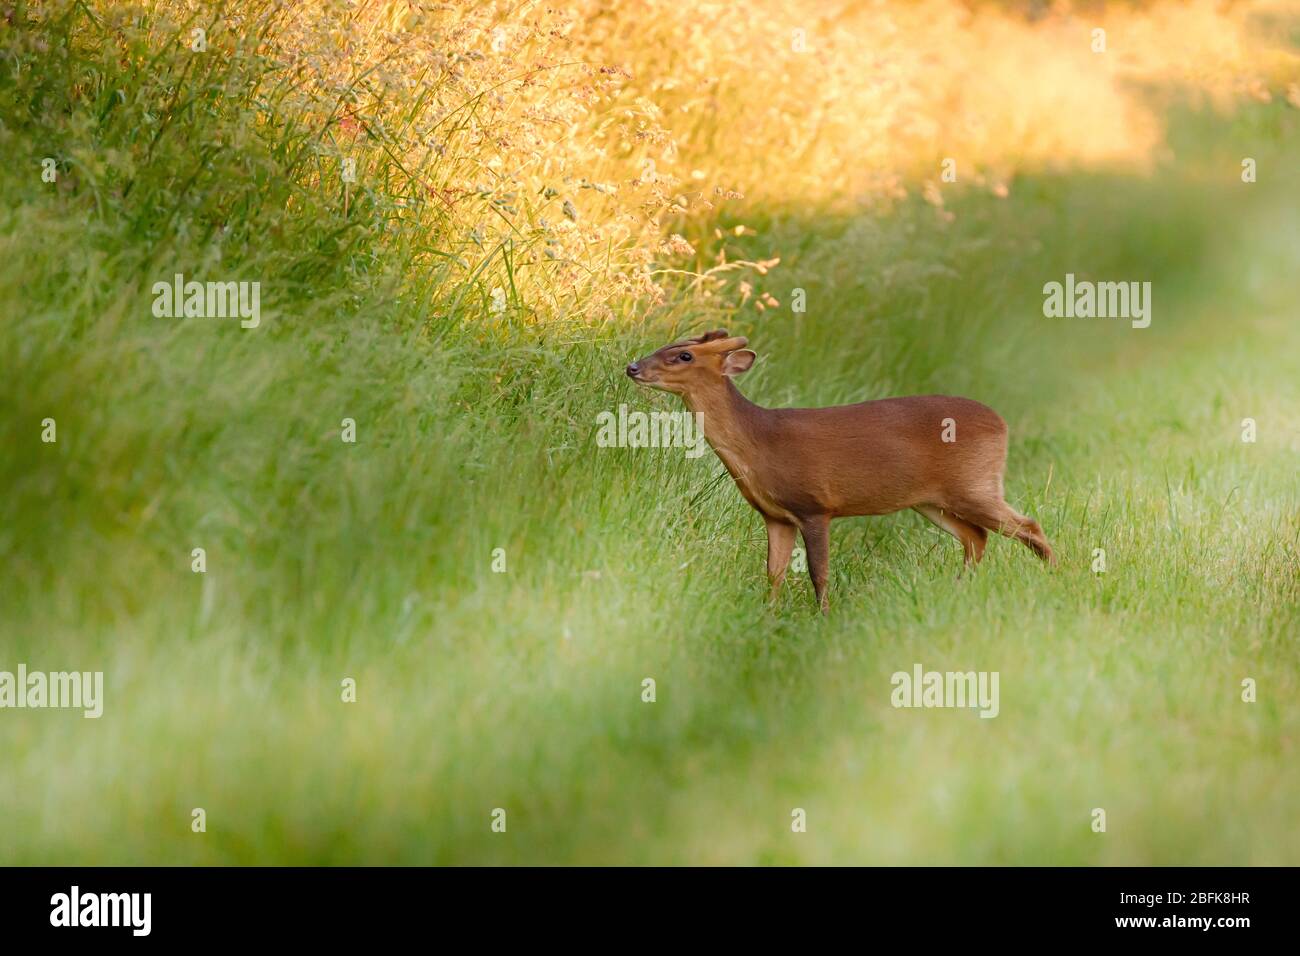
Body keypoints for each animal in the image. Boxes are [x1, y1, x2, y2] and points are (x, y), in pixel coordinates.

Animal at [626, 330, 1055, 612]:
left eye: (684, 356)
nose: (632, 367)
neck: (759, 442)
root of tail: (1001, 424)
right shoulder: (775, 515)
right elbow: (774, 572)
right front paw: (768, 616)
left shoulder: (815, 505)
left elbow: (819, 572)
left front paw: (822, 616)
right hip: (933, 501)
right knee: (976, 537)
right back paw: (961, 589)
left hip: (974, 484)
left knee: (1027, 525)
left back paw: (1058, 577)